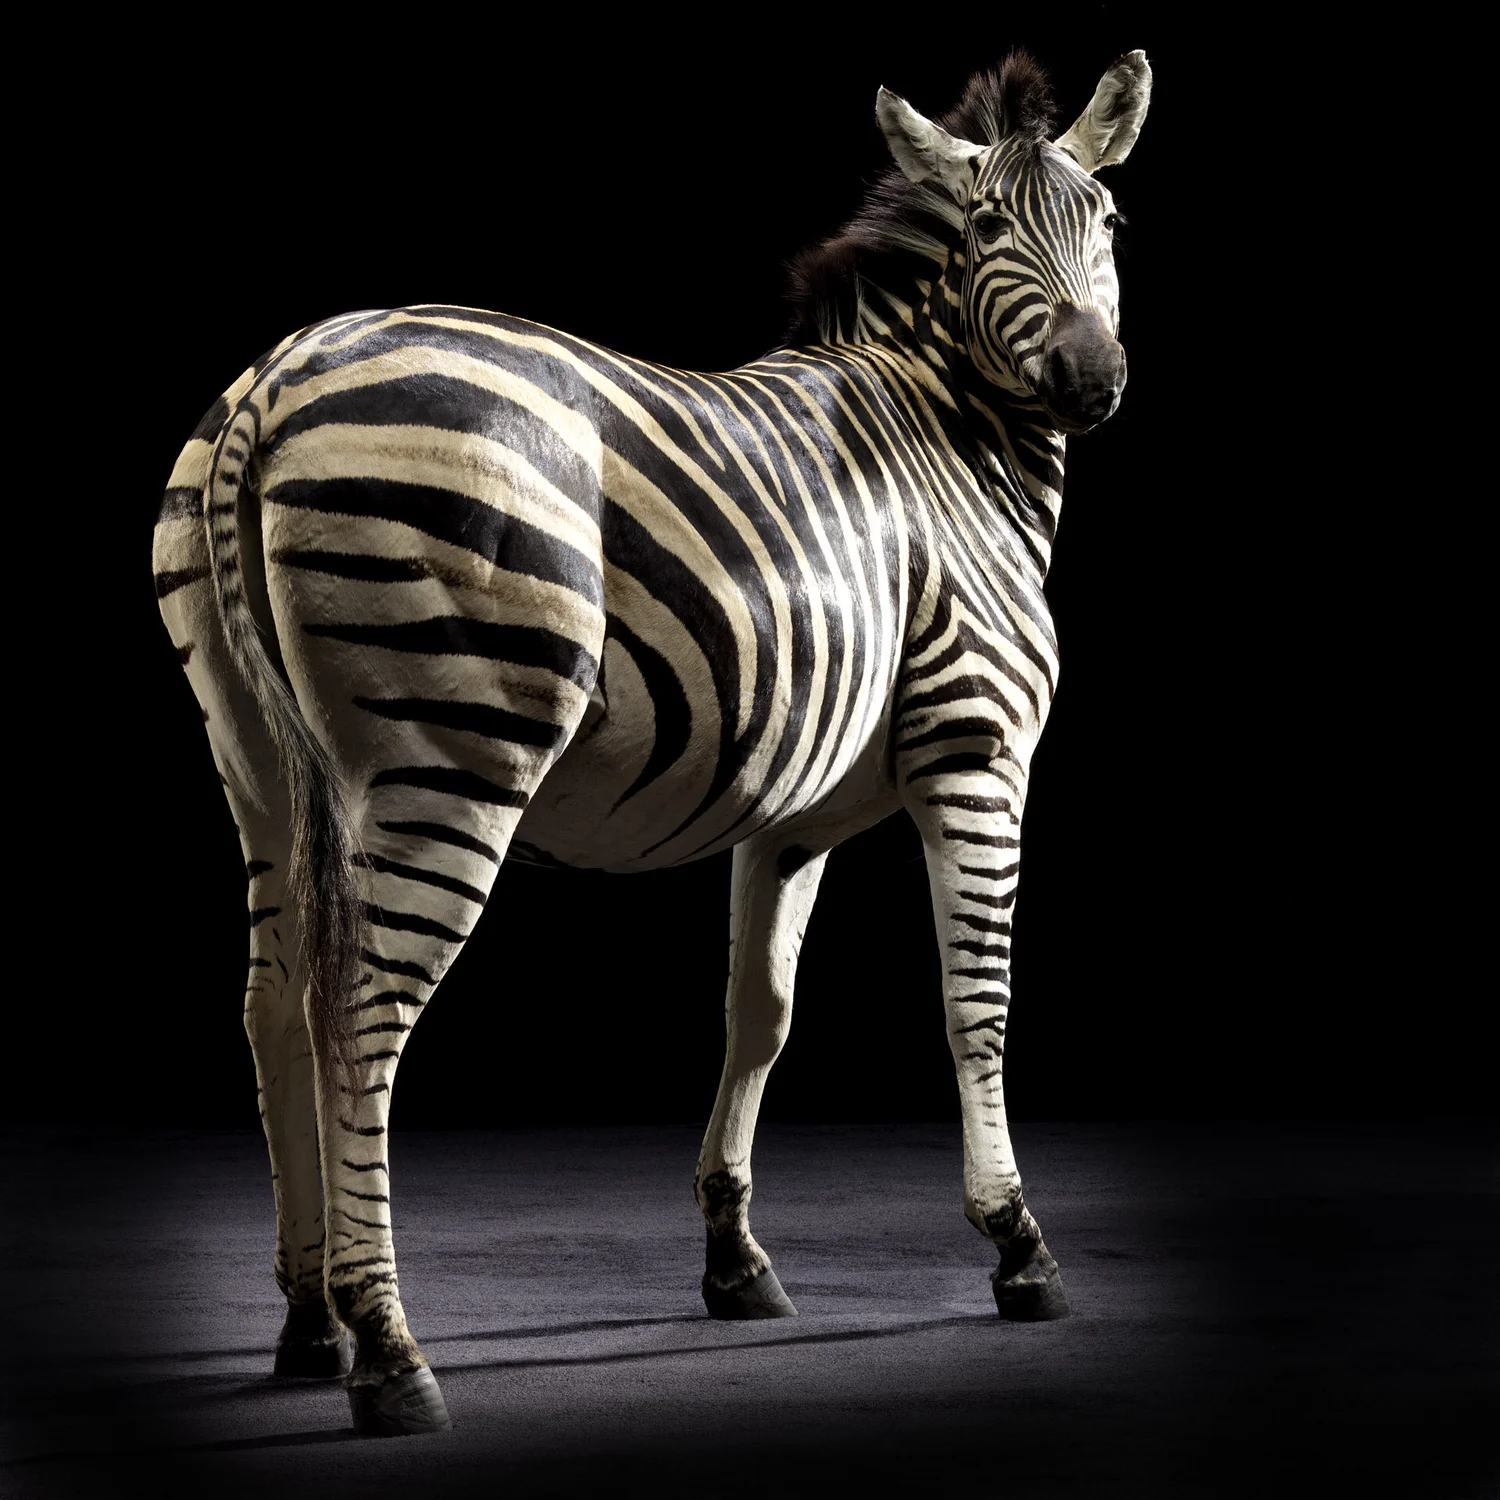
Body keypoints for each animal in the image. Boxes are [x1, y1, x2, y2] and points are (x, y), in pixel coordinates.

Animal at [152, 49, 1151, 1436]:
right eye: (992, 229)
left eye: (1106, 223)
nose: (1094, 383)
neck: (956, 443)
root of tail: (273, 378)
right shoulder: (978, 749)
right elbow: (978, 1003)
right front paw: (1018, 1244)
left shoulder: (789, 812)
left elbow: (760, 1012)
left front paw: (736, 1259)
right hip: (450, 757)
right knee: (361, 1011)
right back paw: (389, 1349)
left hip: (254, 761)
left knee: (268, 1006)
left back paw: (306, 1322)